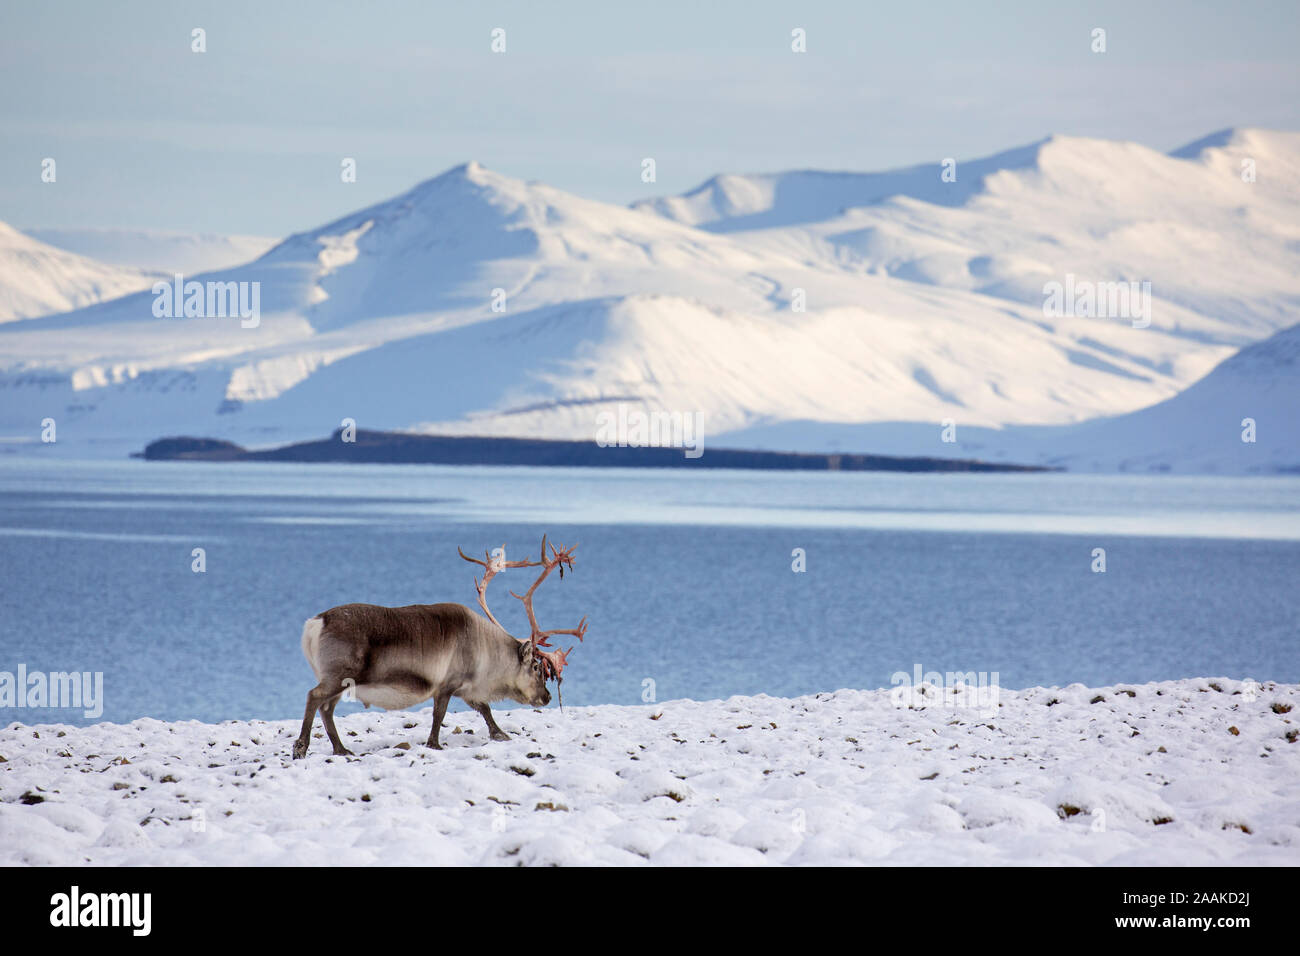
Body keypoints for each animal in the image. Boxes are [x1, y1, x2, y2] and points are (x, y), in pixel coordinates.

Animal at [292, 536, 587, 759]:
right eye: (536, 667)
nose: (547, 697)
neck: (487, 654)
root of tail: (315, 623)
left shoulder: (468, 688)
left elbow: (485, 710)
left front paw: (500, 734)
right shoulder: (447, 683)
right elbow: (439, 714)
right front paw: (434, 743)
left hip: (342, 681)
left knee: (326, 708)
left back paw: (341, 749)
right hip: (339, 674)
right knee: (314, 697)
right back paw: (301, 747)